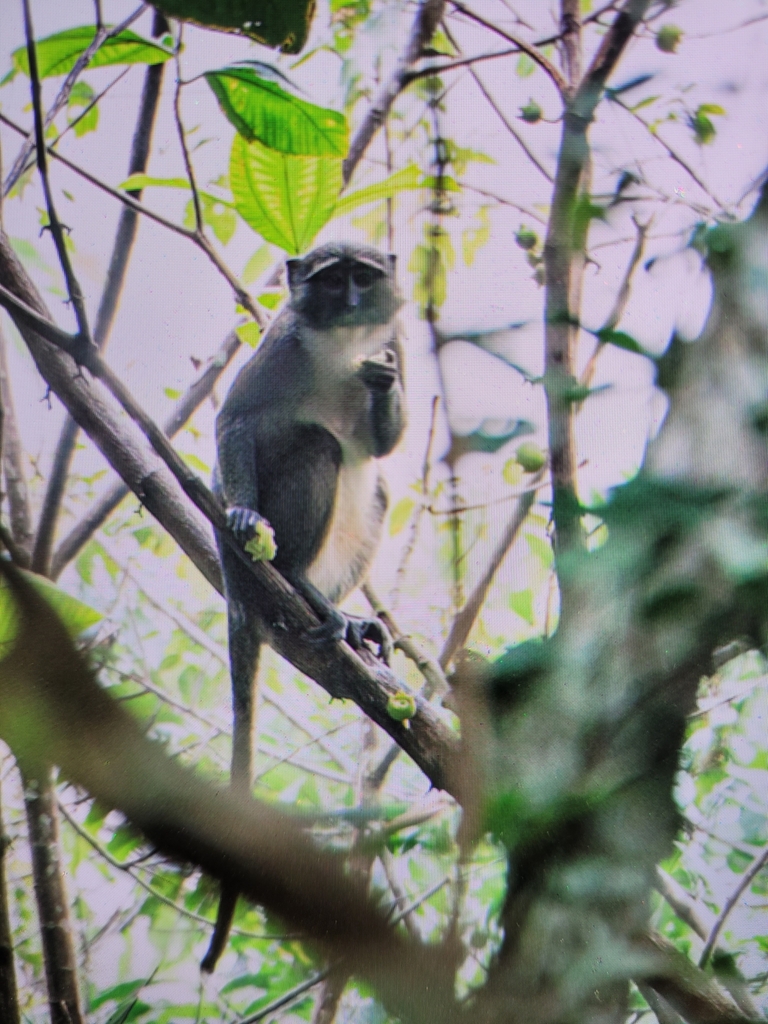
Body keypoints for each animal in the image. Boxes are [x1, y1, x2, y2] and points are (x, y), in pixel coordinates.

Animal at [200, 242, 405, 972]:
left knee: (377, 487)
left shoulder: (396, 340)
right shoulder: (280, 344)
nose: (351, 302)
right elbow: (233, 419)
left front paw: (384, 386)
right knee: (318, 446)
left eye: (363, 277)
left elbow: (384, 447)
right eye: (331, 279)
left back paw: (347, 616)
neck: (340, 346)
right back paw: (295, 580)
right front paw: (241, 512)